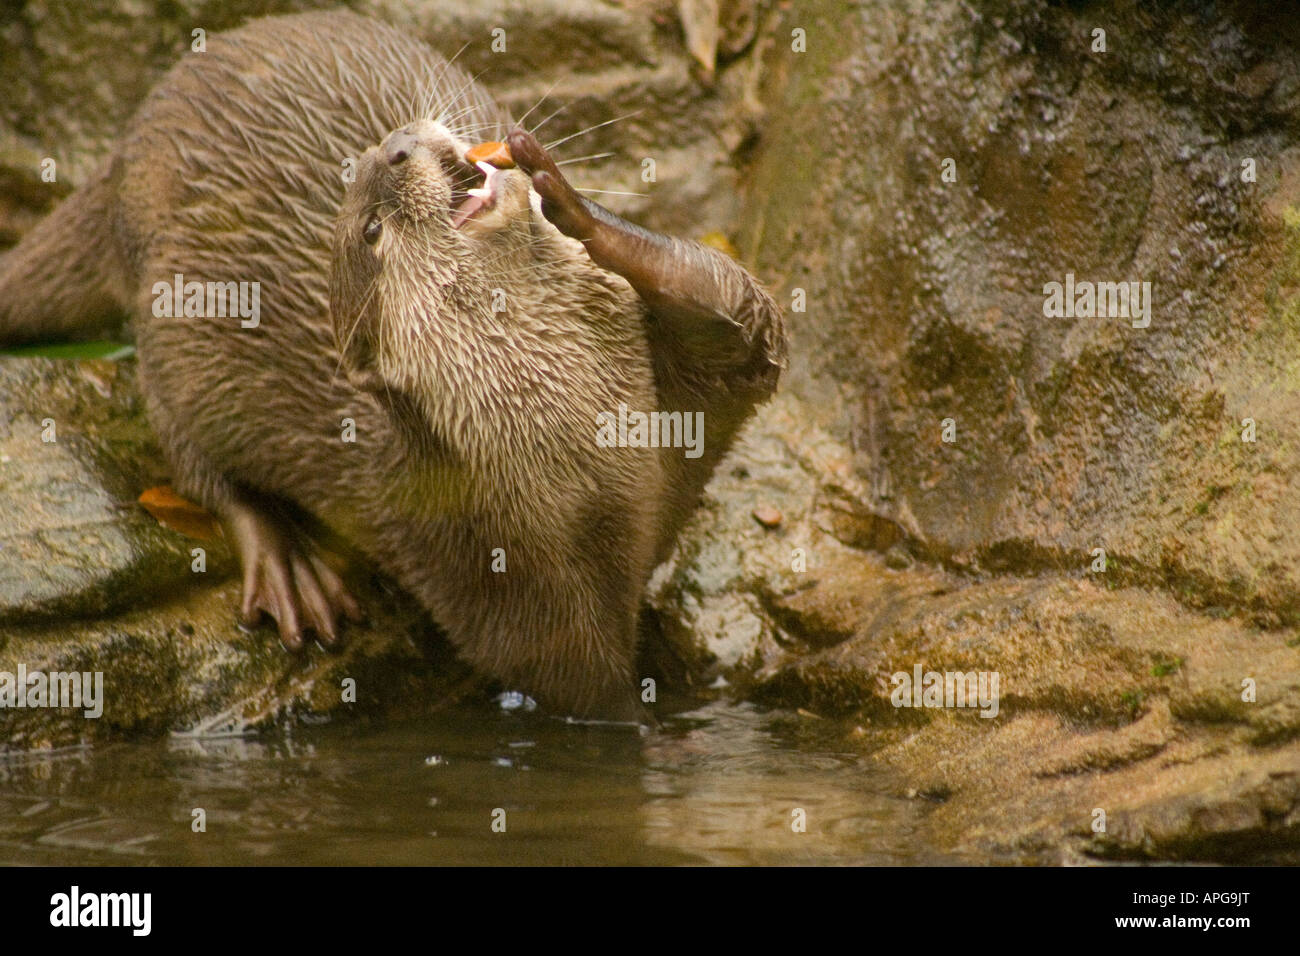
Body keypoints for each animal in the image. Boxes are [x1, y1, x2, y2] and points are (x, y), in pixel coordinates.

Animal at [0, 10, 785, 719]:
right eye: (373, 229)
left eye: (383, 155)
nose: (399, 147)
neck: (583, 445)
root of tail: (123, 154)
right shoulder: (501, 577)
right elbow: (583, 690)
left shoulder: (691, 396)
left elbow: (740, 314)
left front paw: (565, 196)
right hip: (174, 347)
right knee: (193, 455)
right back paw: (288, 569)